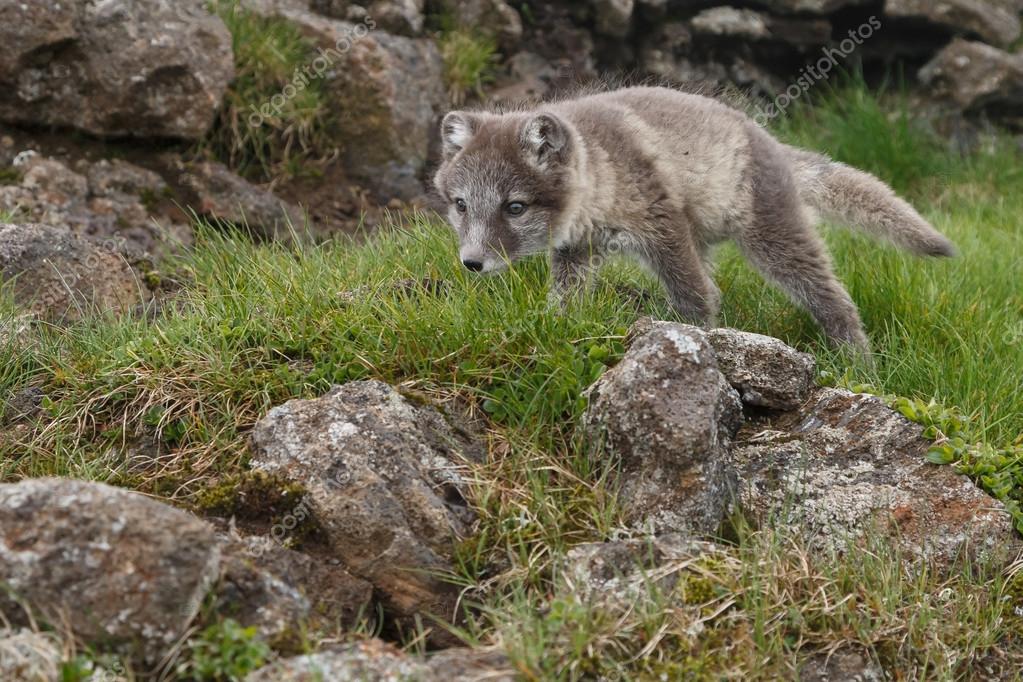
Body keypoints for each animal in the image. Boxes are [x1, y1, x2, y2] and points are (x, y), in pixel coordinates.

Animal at [431, 86, 955, 353]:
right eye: (460, 205)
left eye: (514, 207)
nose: (472, 263)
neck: (602, 172)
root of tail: (771, 140)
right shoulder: (576, 249)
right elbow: (567, 298)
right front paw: (558, 326)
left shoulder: (663, 226)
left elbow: (692, 297)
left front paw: (691, 339)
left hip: (772, 239)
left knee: (832, 298)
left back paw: (856, 362)